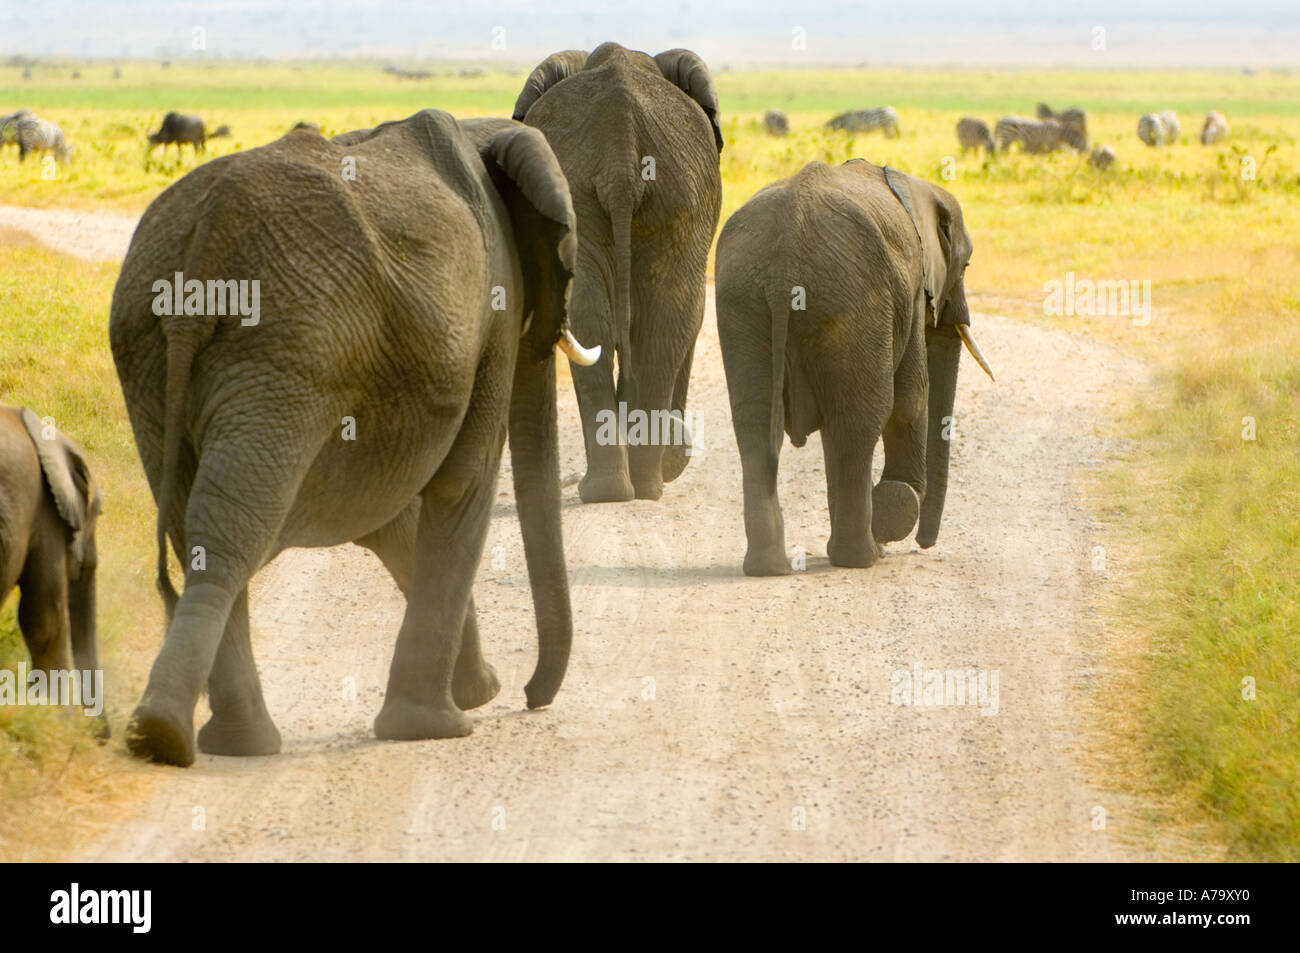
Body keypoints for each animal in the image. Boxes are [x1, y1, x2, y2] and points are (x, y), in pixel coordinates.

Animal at [109, 109, 600, 766]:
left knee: (199, 524)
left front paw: (475, 693)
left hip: (150, 350)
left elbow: (393, 518)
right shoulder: (494, 304)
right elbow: (462, 481)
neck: (484, 130)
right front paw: (439, 725)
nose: (529, 696)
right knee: (238, 522)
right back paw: (185, 737)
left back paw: (204, 740)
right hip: (291, 348)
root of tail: (206, 236)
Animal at [512, 42, 723, 503]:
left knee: (623, 321)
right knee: (659, 322)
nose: (683, 448)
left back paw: (626, 488)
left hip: (659, 191)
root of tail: (620, 158)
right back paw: (635, 487)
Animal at [716, 159, 994, 575]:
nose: (924, 545)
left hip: (742, 298)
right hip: (857, 301)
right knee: (857, 423)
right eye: (966, 265)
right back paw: (861, 557)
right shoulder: (911, 291)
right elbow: (911, 399)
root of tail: (786, 256)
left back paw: (769, 567)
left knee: (756, 423)